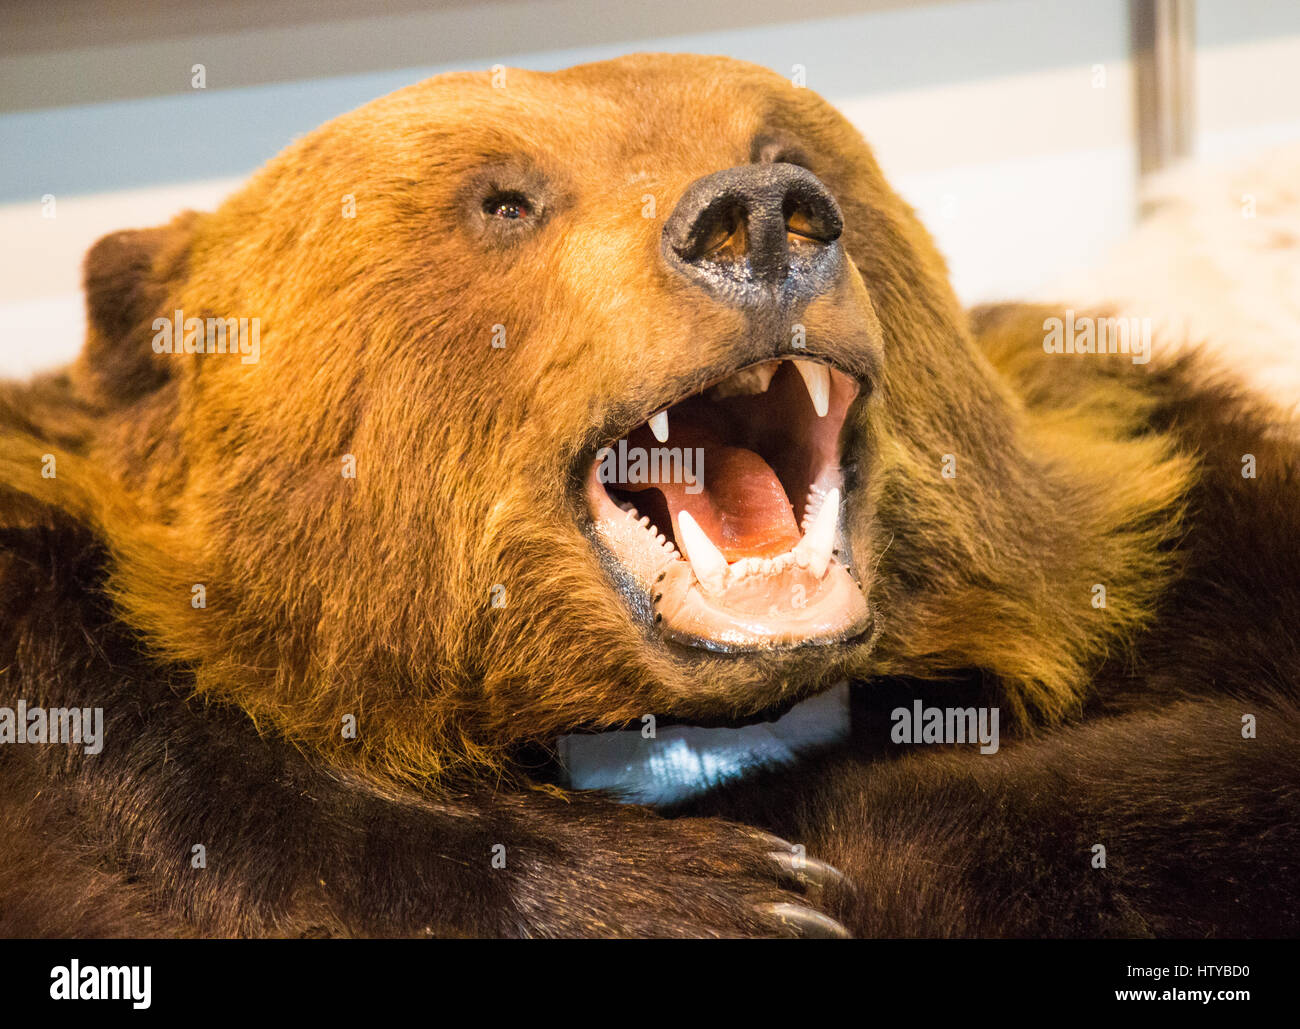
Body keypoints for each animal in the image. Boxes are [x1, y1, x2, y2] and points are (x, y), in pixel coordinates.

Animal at [1, 53, 1298, 938]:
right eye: (502, 200)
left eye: (795, 145)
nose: (759, 215)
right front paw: (721, 889)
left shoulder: (1202, 527)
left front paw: (798, 853)